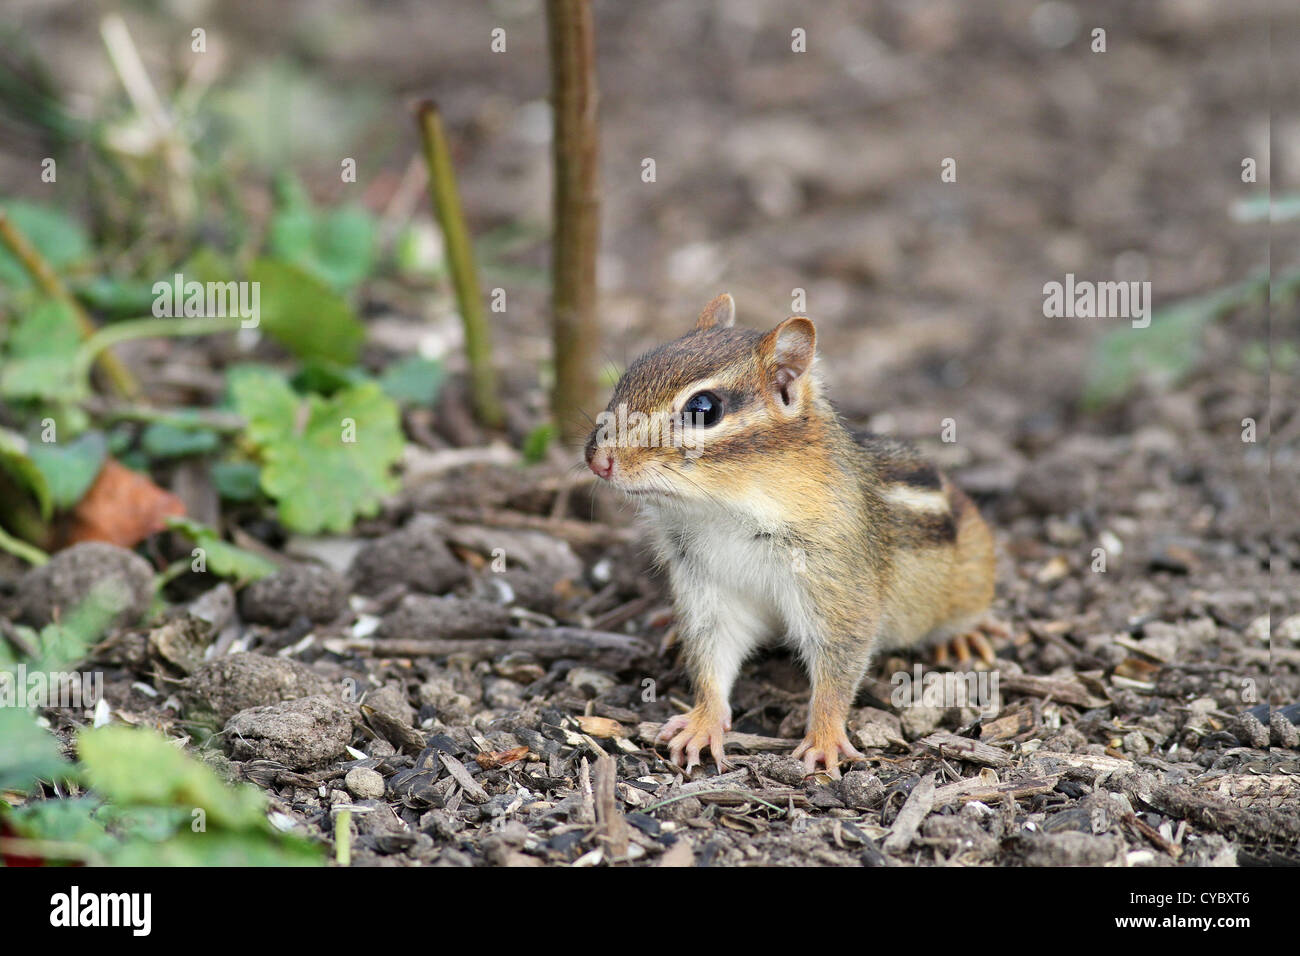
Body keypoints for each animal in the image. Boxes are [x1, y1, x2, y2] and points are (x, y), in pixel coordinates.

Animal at [584, 294, 996, 777]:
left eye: (703, 409)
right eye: (629, 374)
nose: (598, 459)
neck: (723, 511)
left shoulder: (836, 580)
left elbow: (839, 663)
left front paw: (825, 738)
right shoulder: (706, 585)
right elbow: (711, 655)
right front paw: (703, 721)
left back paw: (960, 636)